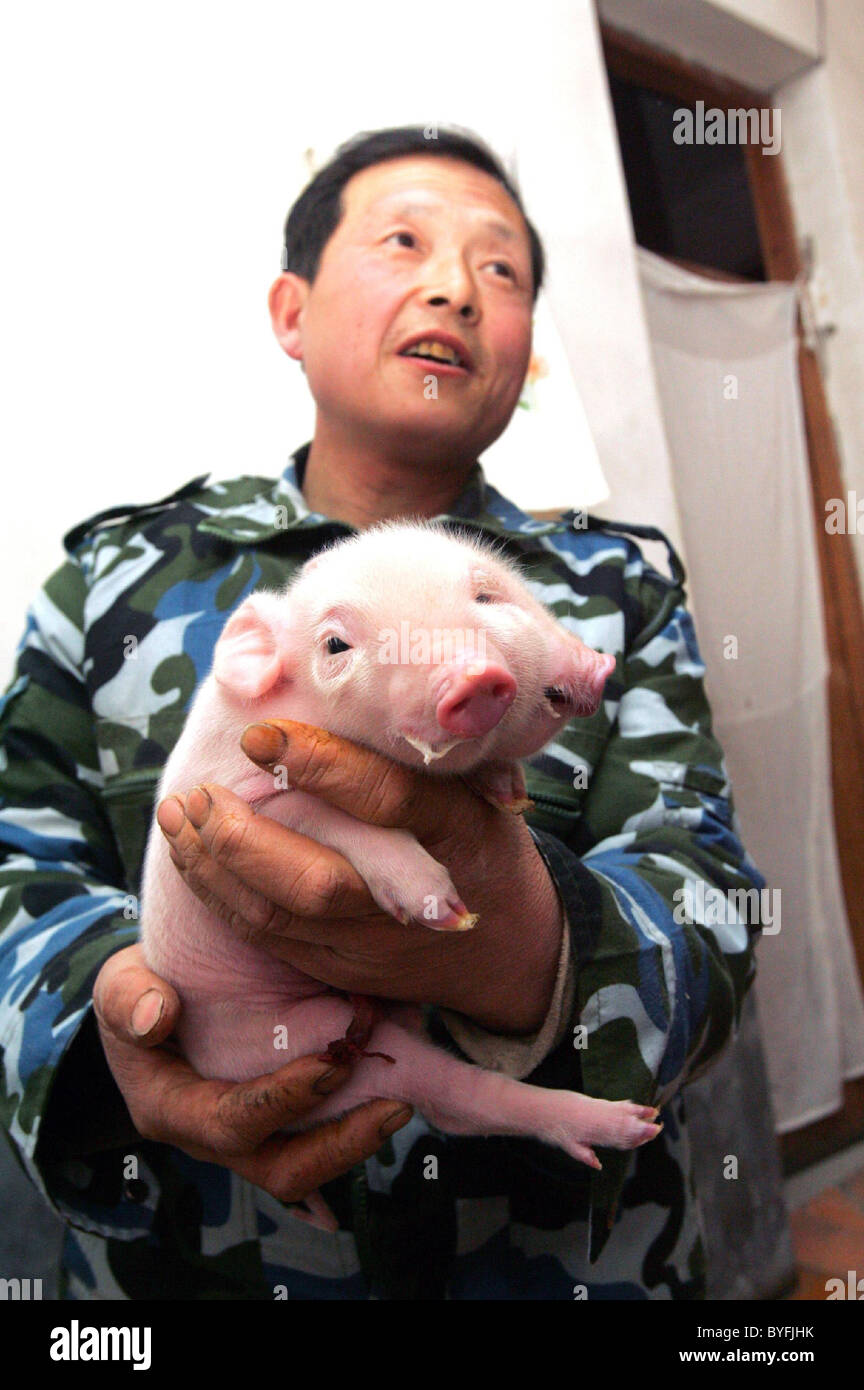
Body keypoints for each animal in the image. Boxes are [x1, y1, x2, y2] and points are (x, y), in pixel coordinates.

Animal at [140, 521, 661, 1219]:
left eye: (487, 595)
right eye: (336, 644)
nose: (474, 677)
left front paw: (507, 793)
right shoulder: (222, 798)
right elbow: (313, 809)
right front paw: (441, 907)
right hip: (301, 1042)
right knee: (453, 1095)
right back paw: (630, 1125)